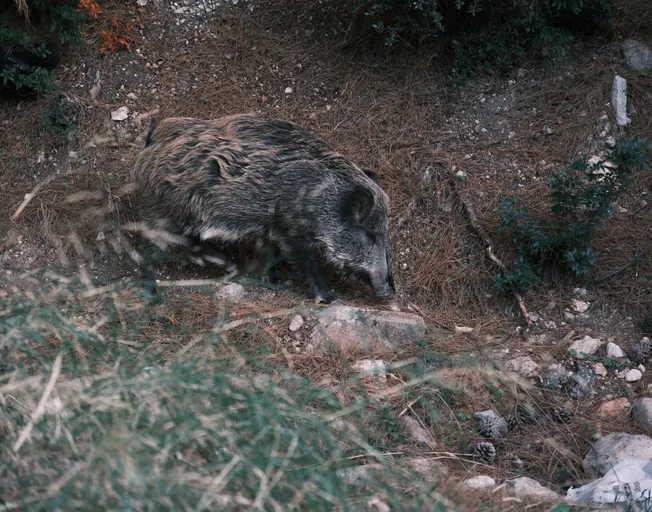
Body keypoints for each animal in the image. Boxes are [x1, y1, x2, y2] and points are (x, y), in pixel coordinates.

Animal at [130, 113, 394, 304]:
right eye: (369, 235)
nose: (385, 291)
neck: (323, 196)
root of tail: (150, 143)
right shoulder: (293, 233)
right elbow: (308, 264)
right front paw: (331, 299)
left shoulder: (274, 230)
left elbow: (271, 255)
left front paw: (272, 282)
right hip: (163, 216)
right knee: (147, 250)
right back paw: (154, 298)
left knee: (192, 242)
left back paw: (230, 266)